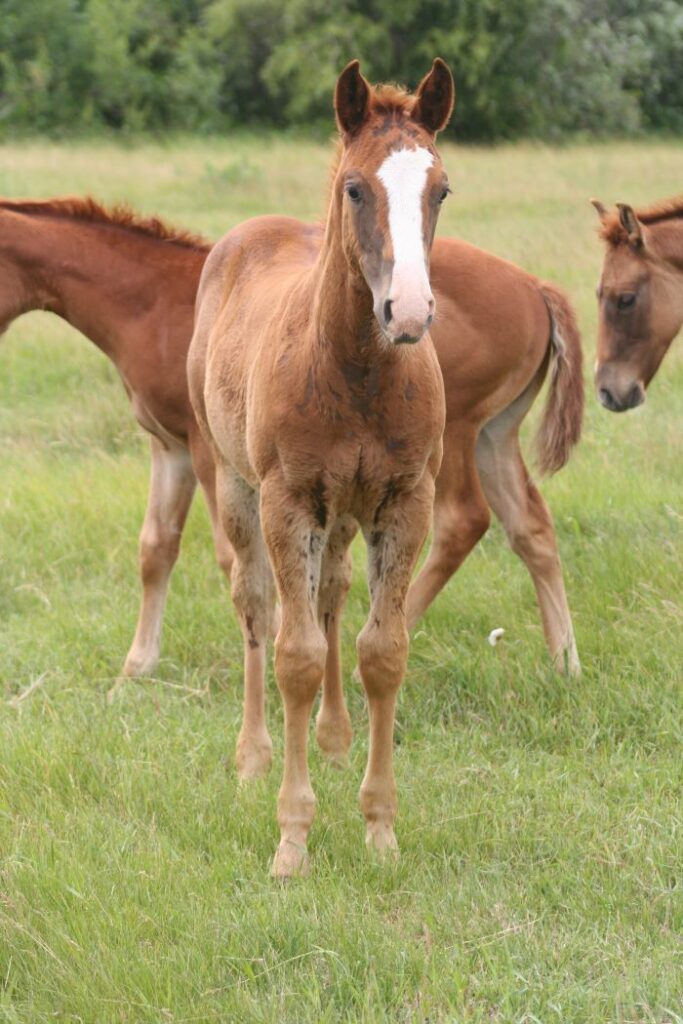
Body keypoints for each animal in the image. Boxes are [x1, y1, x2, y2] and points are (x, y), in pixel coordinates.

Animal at [188, 59, 456, 876]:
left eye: (441, 190)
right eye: (355, 188)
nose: (409, 312)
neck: (357, 370)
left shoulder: (405, 501)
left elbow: (382, 651)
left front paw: (379, 828)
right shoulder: (288, 500)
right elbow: (296, 655)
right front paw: (291, 838)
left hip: (343, 514)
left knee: (332, 593)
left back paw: (334, 741)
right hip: (235, 484)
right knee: (255, 603)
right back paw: (252, 755)